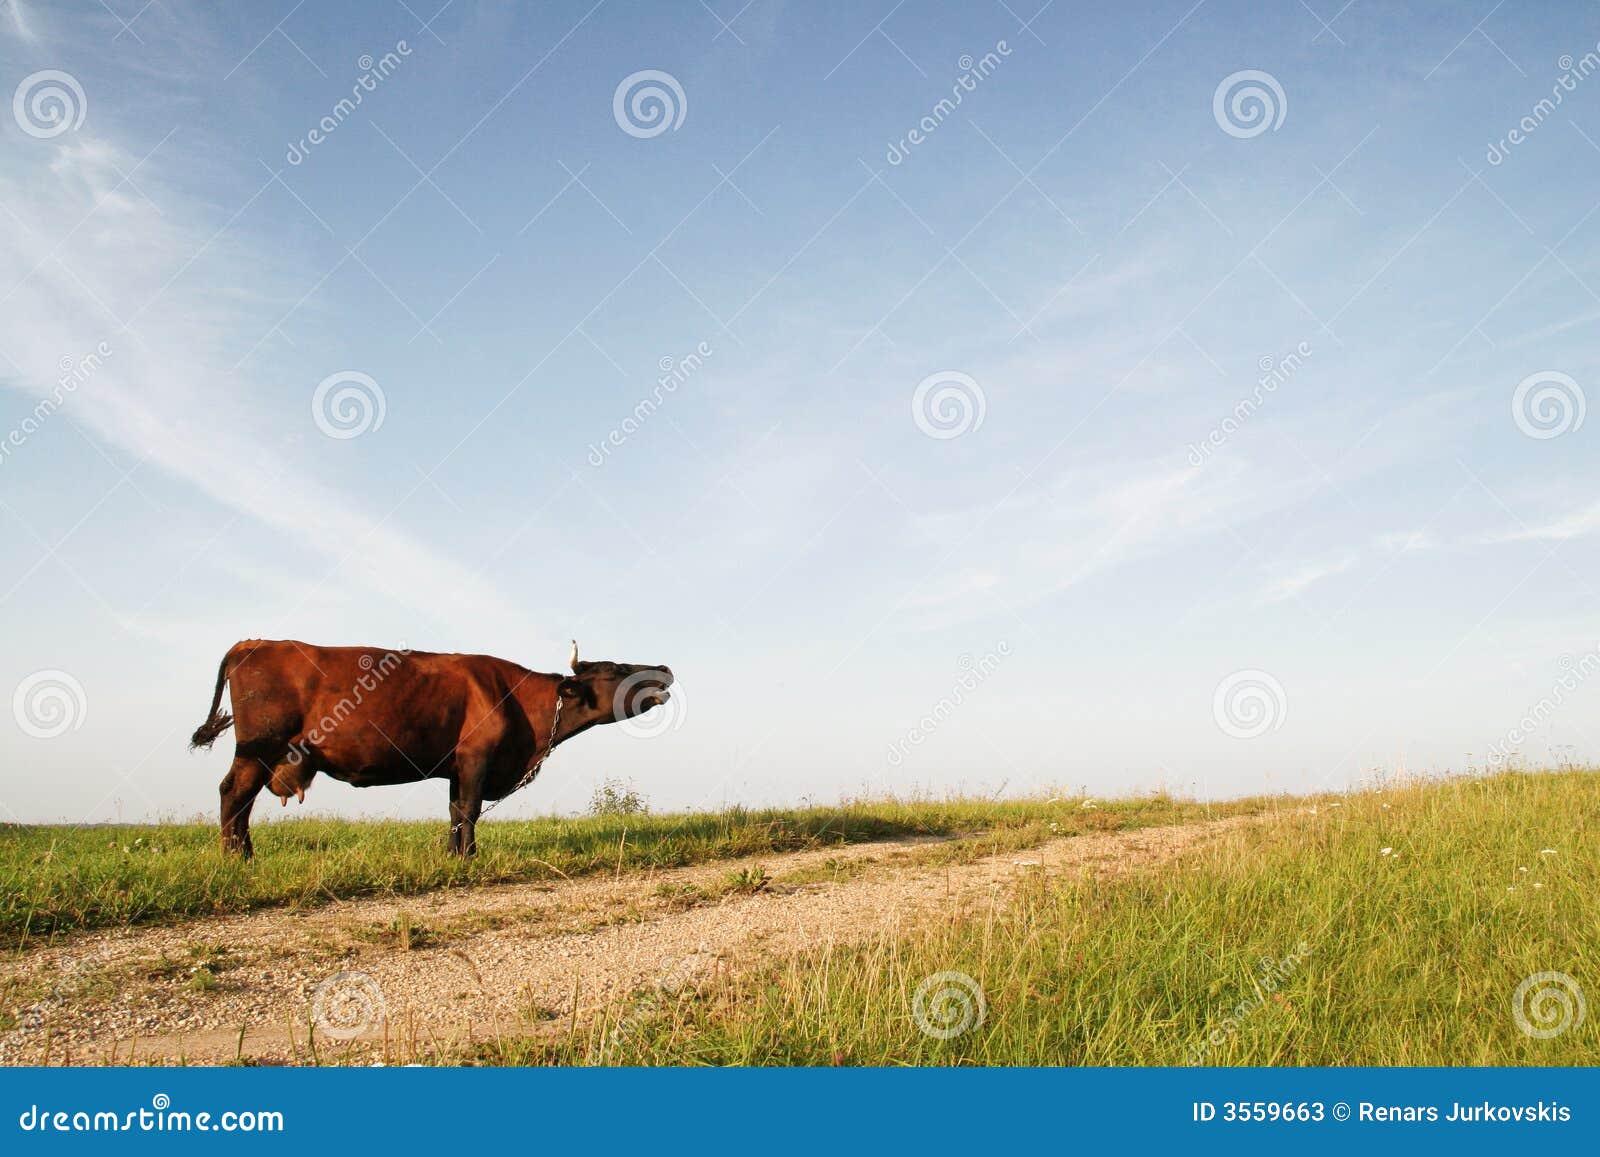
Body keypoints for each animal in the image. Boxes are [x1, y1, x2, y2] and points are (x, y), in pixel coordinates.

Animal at [188, 639, 673, 857]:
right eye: (615, 669)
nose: (665, 668)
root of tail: (254, 642)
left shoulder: (458, 766)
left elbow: (455, 810)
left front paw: (453, 854)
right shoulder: (477, 758)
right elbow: (470, 809)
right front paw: (470, 857)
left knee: (241, 800)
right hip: (257, 749)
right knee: (234, 794)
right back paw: (237, 857)